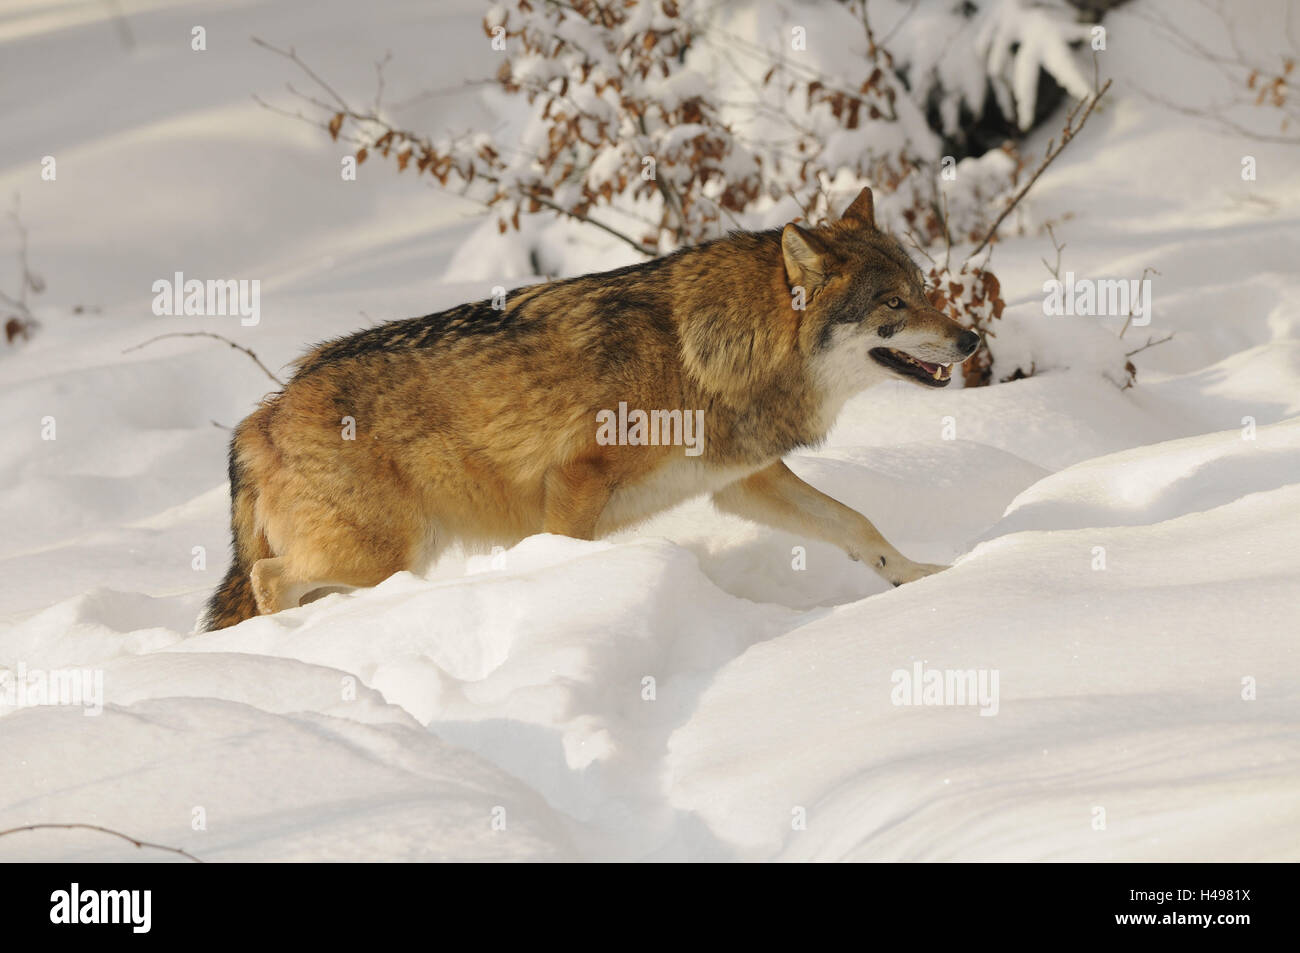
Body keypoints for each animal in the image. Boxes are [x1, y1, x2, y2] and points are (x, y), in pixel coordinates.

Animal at [201, 188, 980, 630]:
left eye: (924, 290)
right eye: (894, 304)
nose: (971, 339)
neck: (701, 352)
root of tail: (260, 415)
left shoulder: (744, 482)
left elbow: (858, 524)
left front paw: (923, 579)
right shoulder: (576, 481)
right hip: (388, 552)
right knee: (269, 581)